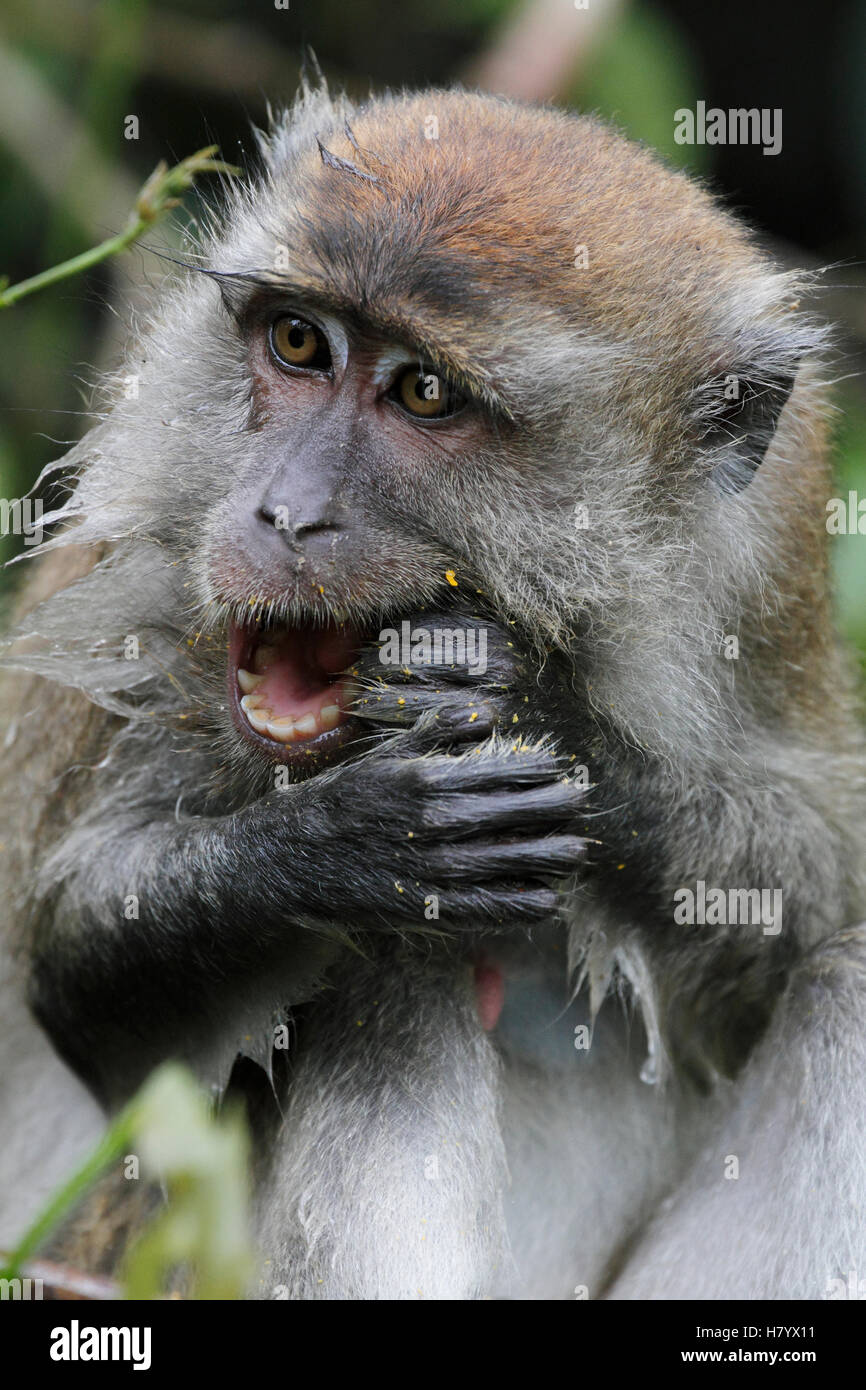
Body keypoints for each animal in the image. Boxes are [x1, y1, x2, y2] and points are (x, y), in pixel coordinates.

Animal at [0, 77, 864, 1301]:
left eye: (423, 393)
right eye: (299, 342)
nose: (283, 512)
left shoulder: (772, 549)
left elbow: (805, 901)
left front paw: (562, 738)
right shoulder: (147, 600)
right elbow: (87, 989)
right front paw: (348, 844)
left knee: (848, 992)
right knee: (399, 962)